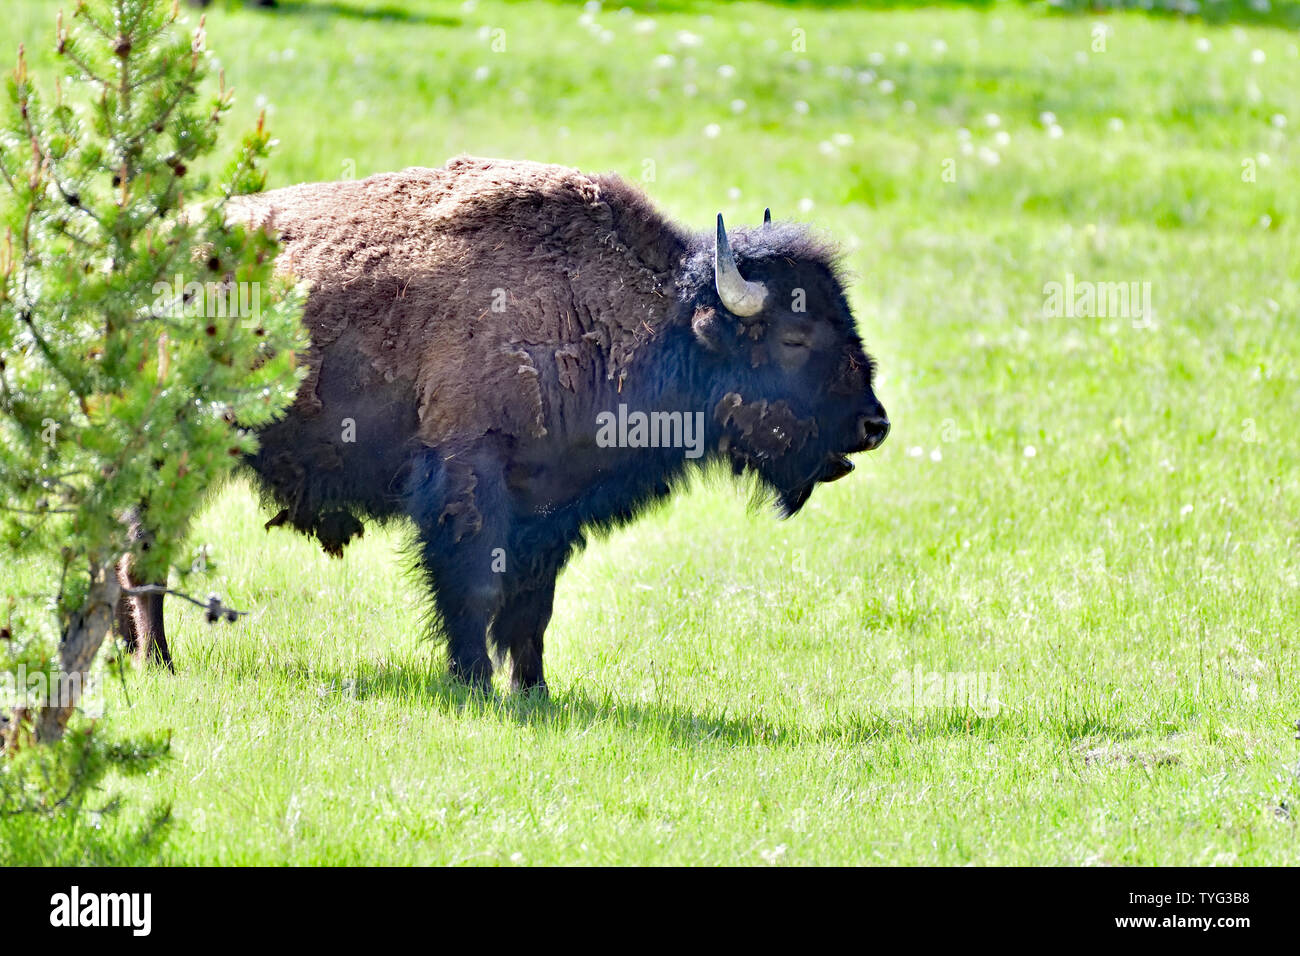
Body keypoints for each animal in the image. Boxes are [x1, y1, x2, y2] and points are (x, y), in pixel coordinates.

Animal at [116, 157, 889, 692]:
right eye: (795, 336)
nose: (873, 426)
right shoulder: (470, 477)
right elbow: (477, 586)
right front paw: (474, 684)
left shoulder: (551, 507)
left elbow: (530, 606)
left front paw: (534, 691)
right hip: (176, 454)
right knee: (142, 554)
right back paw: (159, 662)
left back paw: (126, 654)